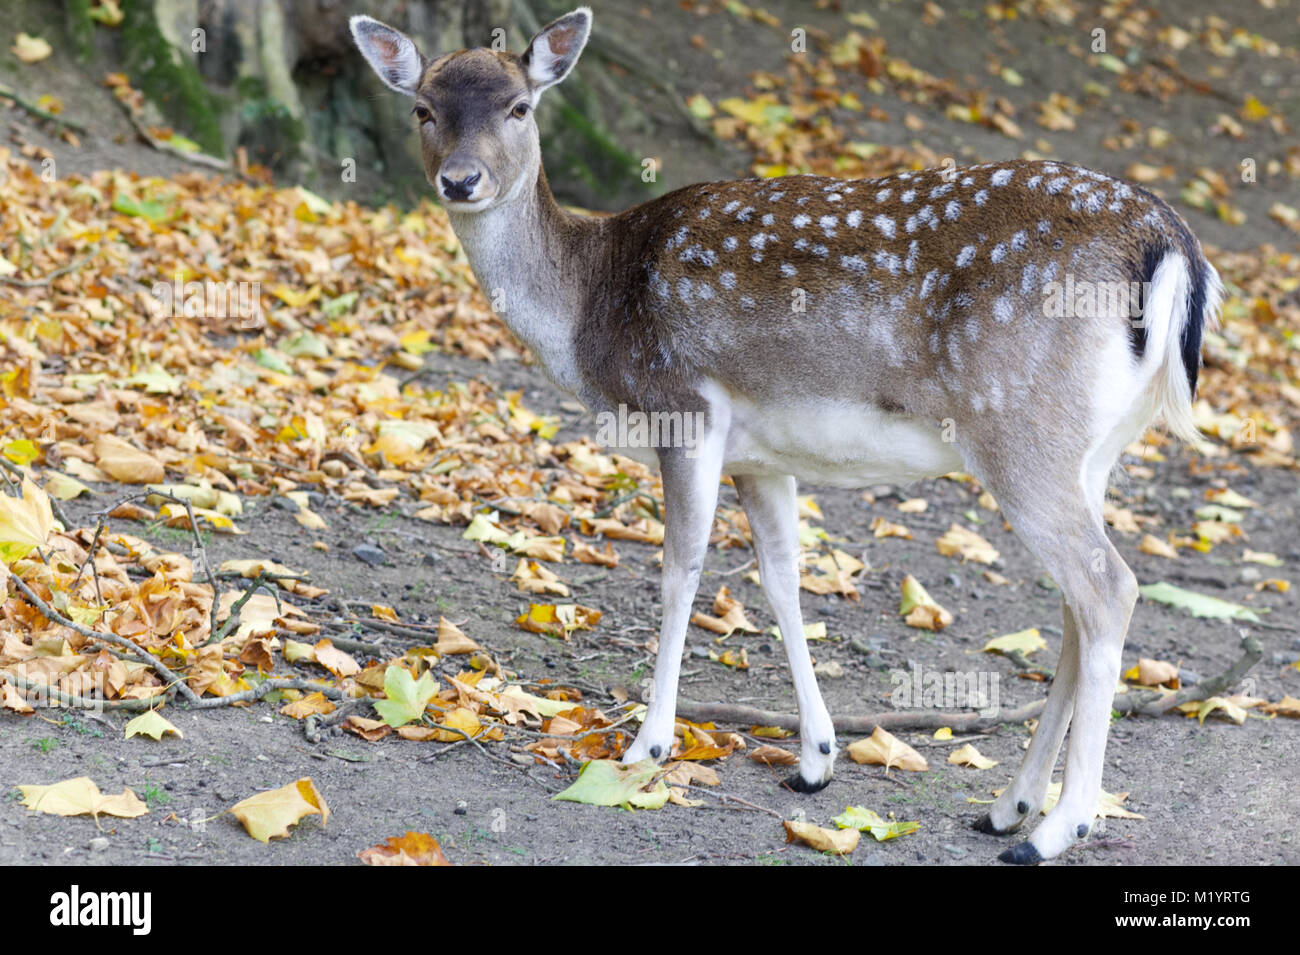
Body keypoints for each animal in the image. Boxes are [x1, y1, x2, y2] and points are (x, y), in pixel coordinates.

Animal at [351, 6, 1222, 864]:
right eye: (423, 109)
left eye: (520, 108)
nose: (460, 179)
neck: (589, 309)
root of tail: (1172, 246)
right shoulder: (760, 456)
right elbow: (782, 578)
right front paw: (815, 760)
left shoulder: (685, 406)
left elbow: (680, 571)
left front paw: (646, 746)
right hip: (1092, 449)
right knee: (1080, 604)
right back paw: (1008, 807)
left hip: (1021, 429)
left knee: (1108, 587)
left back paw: (1055, 826)